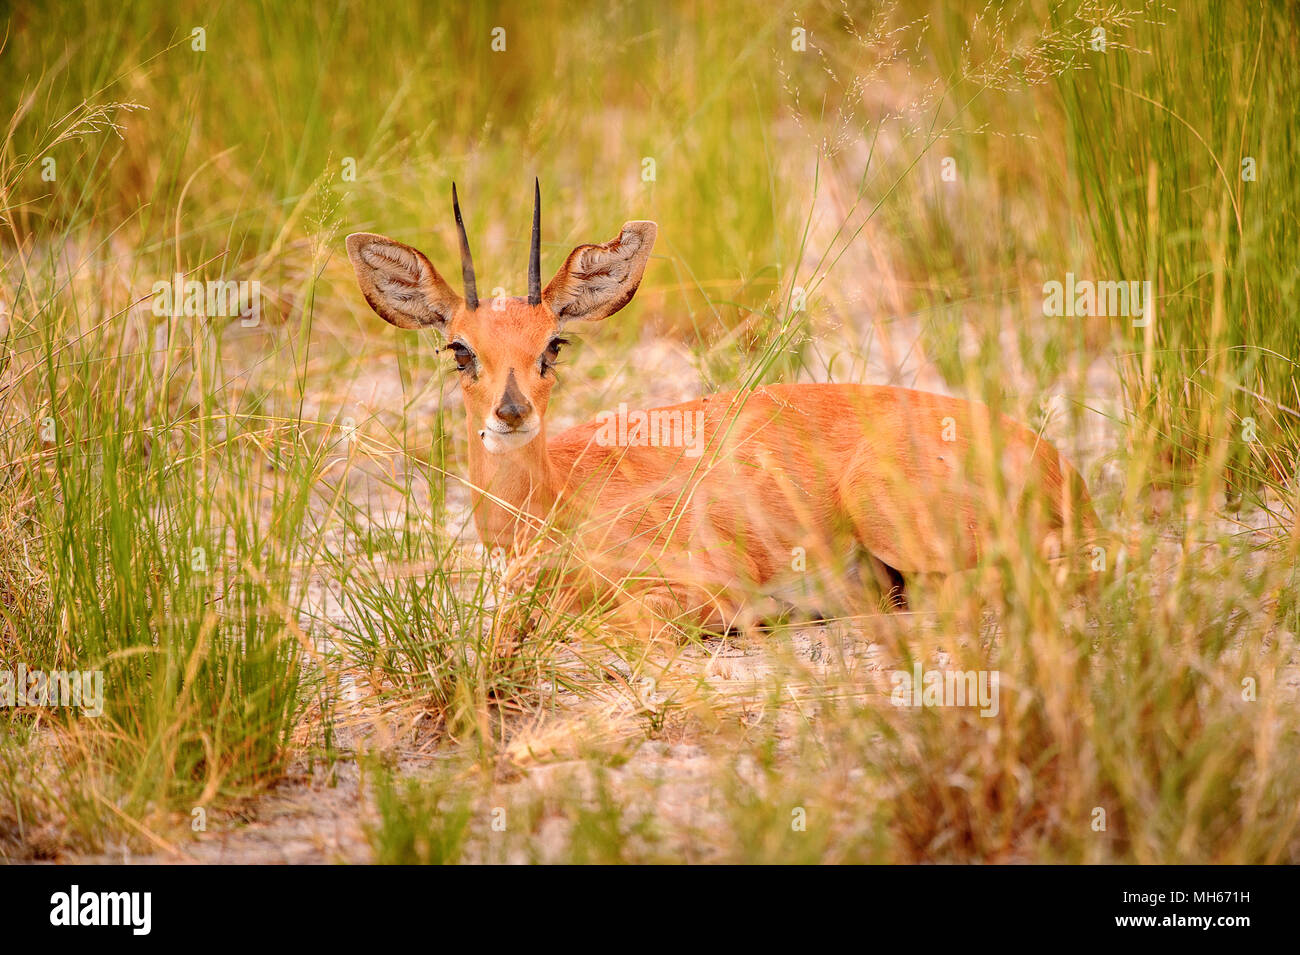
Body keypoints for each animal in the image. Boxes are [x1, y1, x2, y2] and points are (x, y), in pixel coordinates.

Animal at [345, 182, 1100, 637]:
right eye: (459, 349)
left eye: (552, 344)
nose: (511, 412)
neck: (557, 503)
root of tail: (1065, 474)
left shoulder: (694, 590)